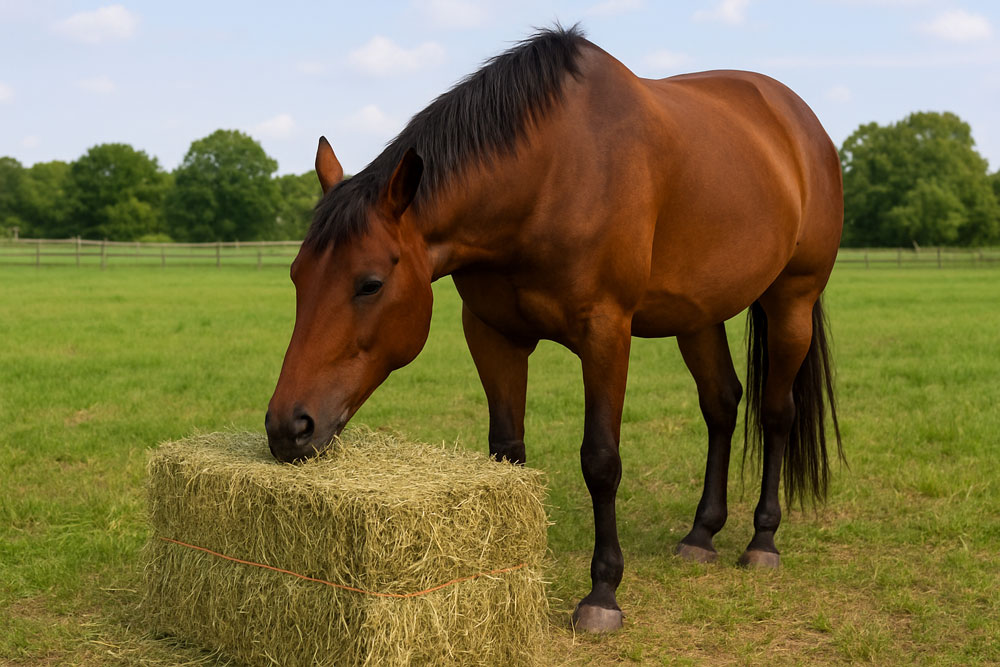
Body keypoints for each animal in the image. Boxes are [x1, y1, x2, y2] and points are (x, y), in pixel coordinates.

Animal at [265, 25, 843, 633]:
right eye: (297, 275)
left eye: (370, 283)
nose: (287, 427)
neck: (549, 176)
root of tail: (801, 124)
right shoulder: (491, 333)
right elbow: (506, 454)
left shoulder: (606, 334)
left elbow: (601, 461)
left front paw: (602, 593)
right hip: (698, 314)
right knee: (722, 405)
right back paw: (701, 534)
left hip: (791, 301)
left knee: (776, 413)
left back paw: (762, 541)